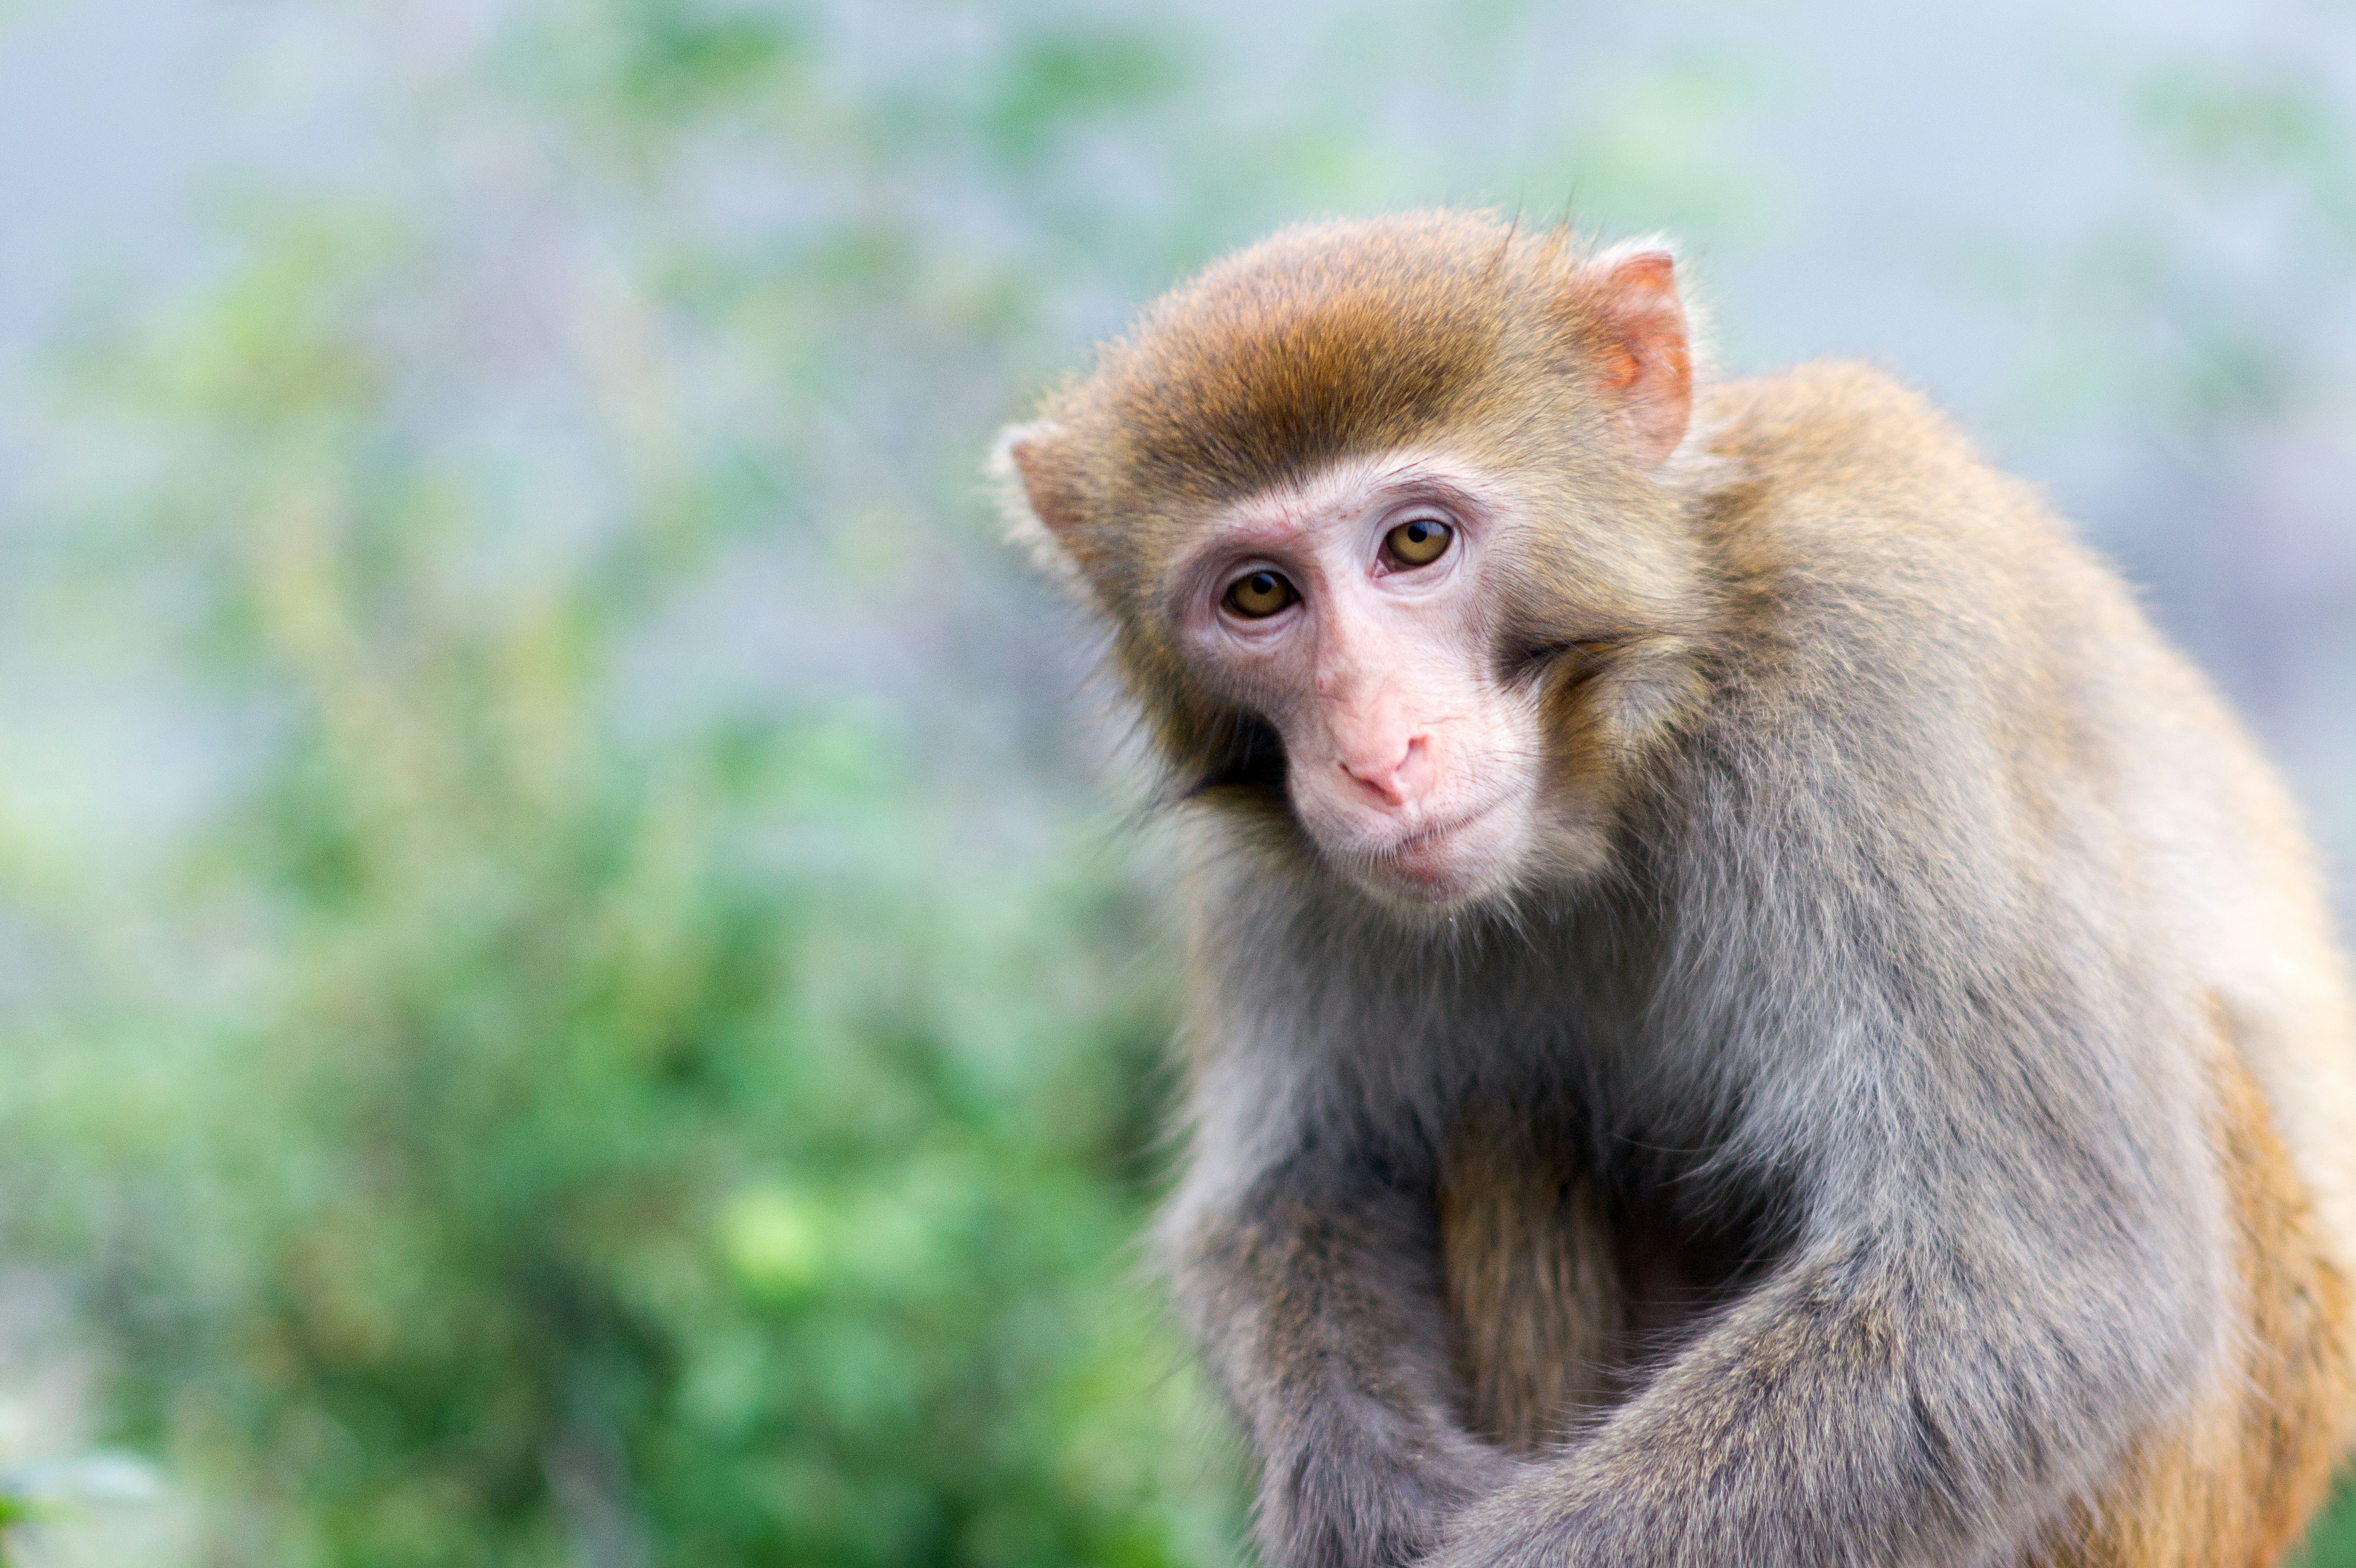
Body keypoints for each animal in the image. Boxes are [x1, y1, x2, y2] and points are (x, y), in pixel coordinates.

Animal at [990, 209, 2356, 1568]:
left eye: (1416, 541)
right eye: (1258, 593)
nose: (1378, 753)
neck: (1629, 735)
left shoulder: (1873, 679)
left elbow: (2034, 1277)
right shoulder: (1263, 855)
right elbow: (1293, 1185)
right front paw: (1358, 1484)